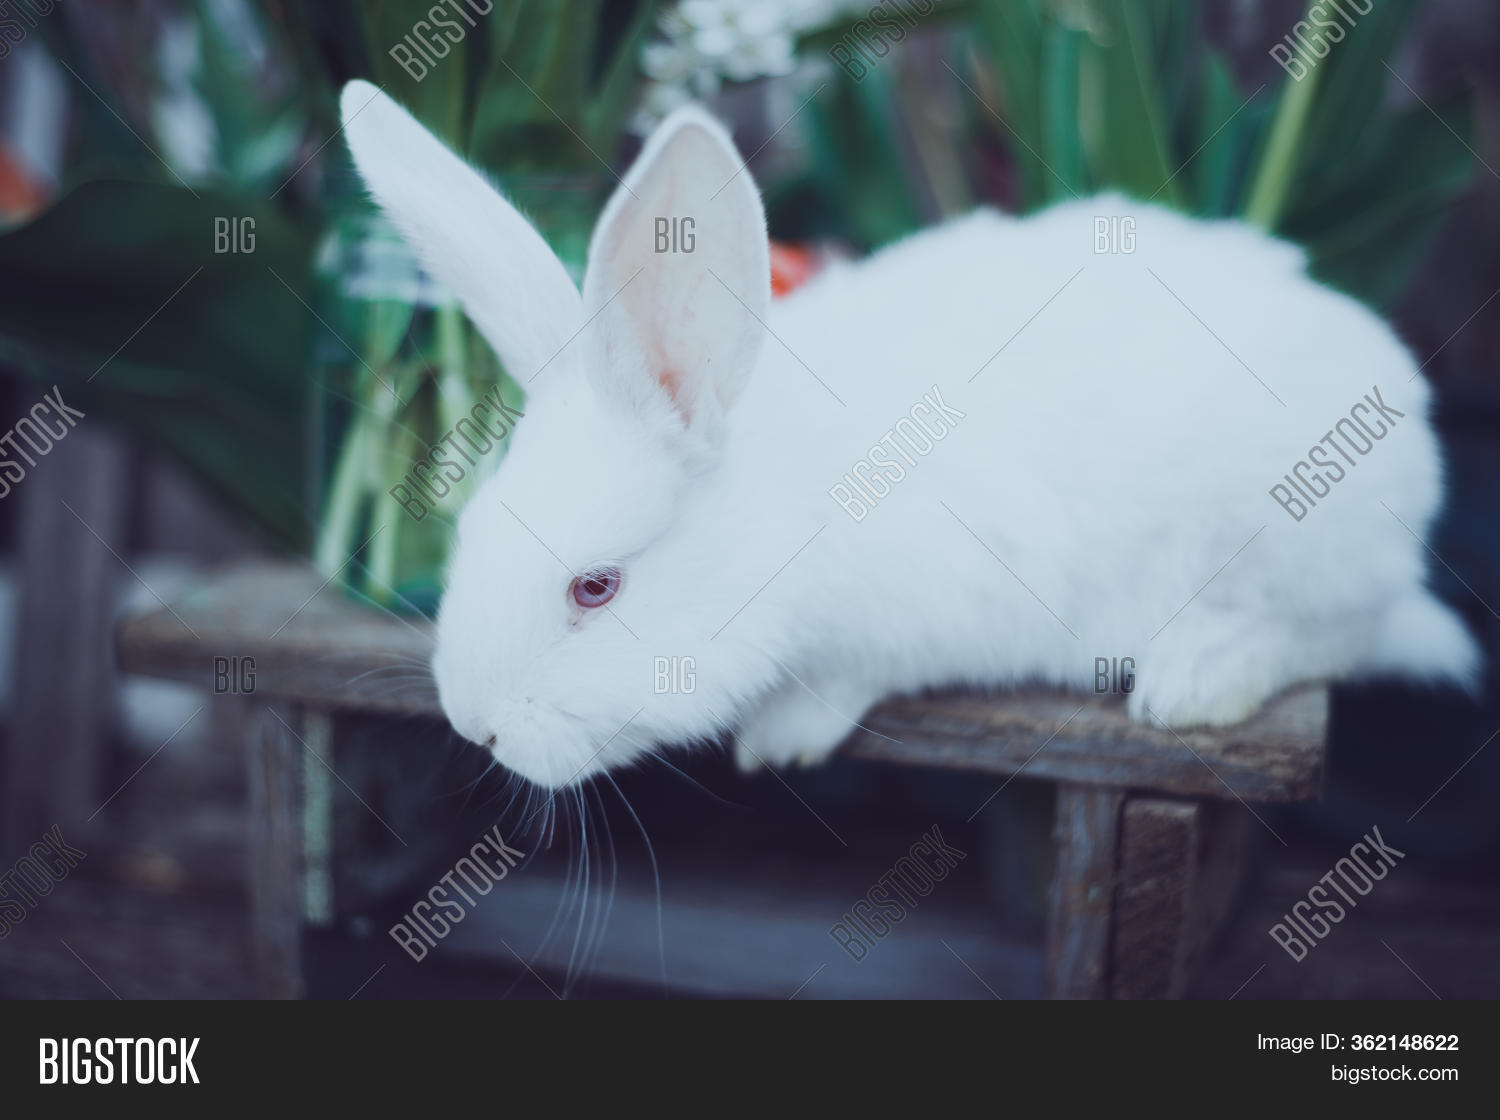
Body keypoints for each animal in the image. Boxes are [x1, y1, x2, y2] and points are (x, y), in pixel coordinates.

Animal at [340, 80, 1480, 791]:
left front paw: (781, 742)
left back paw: (1191, 683)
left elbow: (853, 676)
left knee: (1334, 636)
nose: (475, 724)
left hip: (1300, 544)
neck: (785, 520)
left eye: (595, 587)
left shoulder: (932, 603)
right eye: (470, 532)